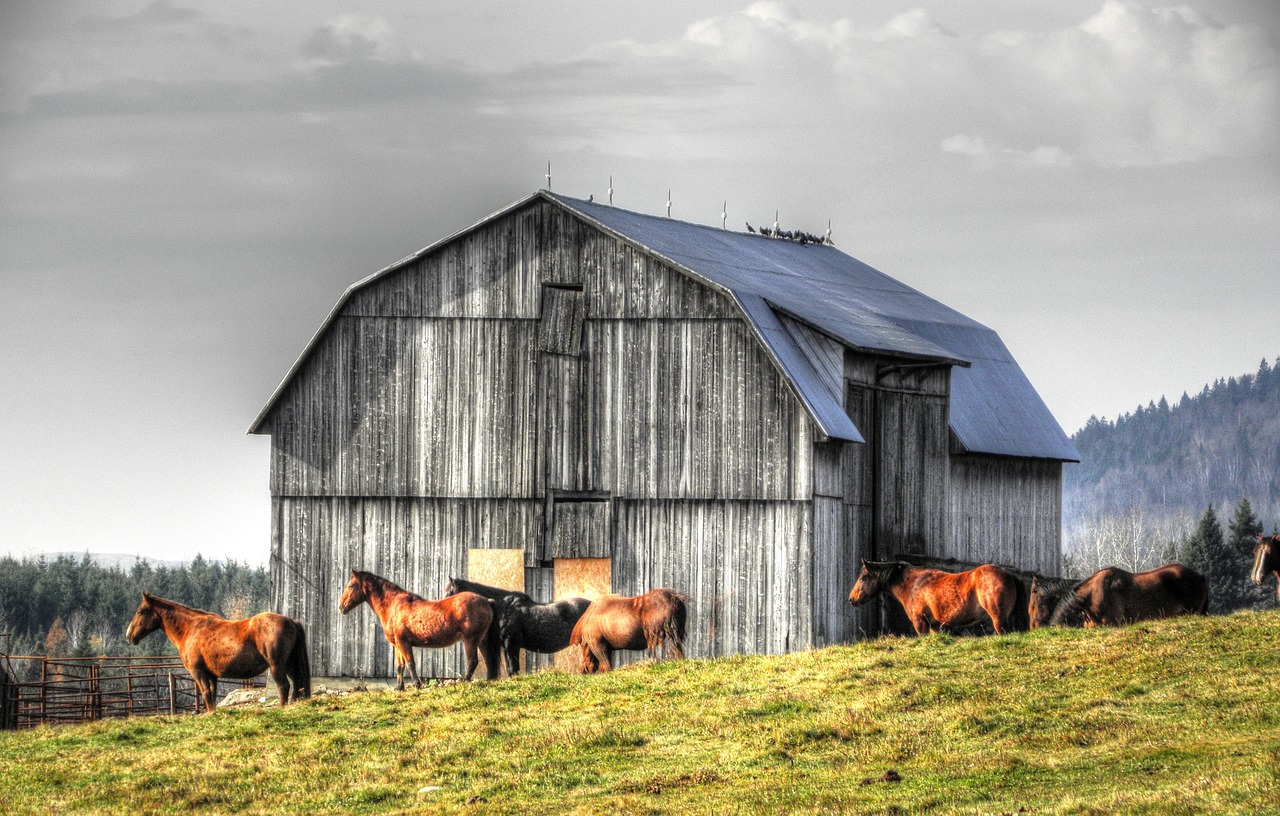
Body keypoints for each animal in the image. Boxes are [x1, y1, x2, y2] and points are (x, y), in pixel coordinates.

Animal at [126, 593, 311, 716]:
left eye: (140, 612)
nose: (129, 635)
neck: (191, 629)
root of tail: (291, 621)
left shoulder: (198, 672)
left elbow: (206, 694)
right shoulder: (212, 675)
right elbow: (212, 695)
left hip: (276, 665)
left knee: (284, 686)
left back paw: (282, 708)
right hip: (289, 664)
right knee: (296, 683)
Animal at [337, 572, 496, 695]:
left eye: (351, 586)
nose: (341, 607)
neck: (394, 606)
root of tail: (486, 601)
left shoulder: (403, 642)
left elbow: (410, 663)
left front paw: (416, 684)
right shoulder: (397, 644)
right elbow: (400, 666)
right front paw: (399, 687)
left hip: (470, 639)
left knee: (472, 661)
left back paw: (464, 682)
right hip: (480, 640)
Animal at [442, 578, 591, 680]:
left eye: (449, 593)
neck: (504, 608)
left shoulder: (511, 645)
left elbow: (514, 669)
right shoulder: (506, 647)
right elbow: (511, 670)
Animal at [849, 562, 1029, 639]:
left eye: (863, 577)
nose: (852, 600)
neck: (913, 584)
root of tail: (1010, 575)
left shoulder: (920, 623)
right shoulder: (935, 627)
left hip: (999, 621)